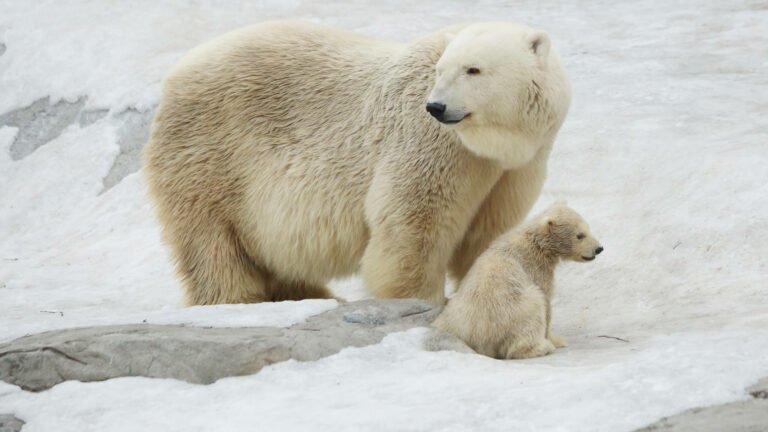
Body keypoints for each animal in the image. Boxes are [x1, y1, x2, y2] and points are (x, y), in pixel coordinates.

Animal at [143, 21, 571, 306]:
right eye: (441, 70)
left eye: (474, 69)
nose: (436, 106)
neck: (493, 145)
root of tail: (172, 79)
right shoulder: (432, 143)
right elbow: (414, 220)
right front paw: (416, 301)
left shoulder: (514, 168)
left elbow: (486, 232)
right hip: (211, 156)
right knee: (212, 243)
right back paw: (239, 299)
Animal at [432, 202, 603, 359]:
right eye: (579, 235)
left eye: (588, 228)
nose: (599, 249)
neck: (536, 242)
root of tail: (475, 337)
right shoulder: (535, 268)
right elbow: (546, 300)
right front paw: (556, 340)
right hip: (512, 310)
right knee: (531, 313)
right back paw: (541, 347)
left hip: (453, 314)